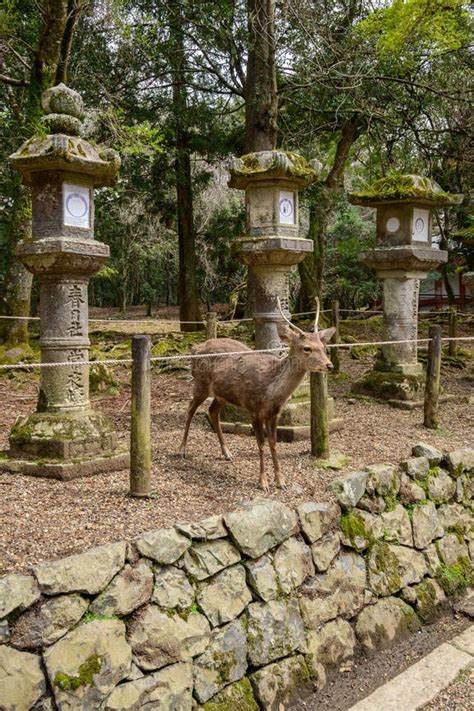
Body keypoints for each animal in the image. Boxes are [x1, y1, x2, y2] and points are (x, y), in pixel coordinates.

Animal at [179, 300, 335, 492]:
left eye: (323, 347)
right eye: (307, 348)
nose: (329, 365)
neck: (271, 392)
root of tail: (195, 348)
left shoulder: (275, 414)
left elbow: (273, 443)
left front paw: (281, 481)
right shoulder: (253, 409)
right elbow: (260, 443)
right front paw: (263, 482)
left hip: (222, 394)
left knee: (212, 411)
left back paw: (227, 453)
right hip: (200, 383)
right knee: (190, 409)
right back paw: (182, 450)